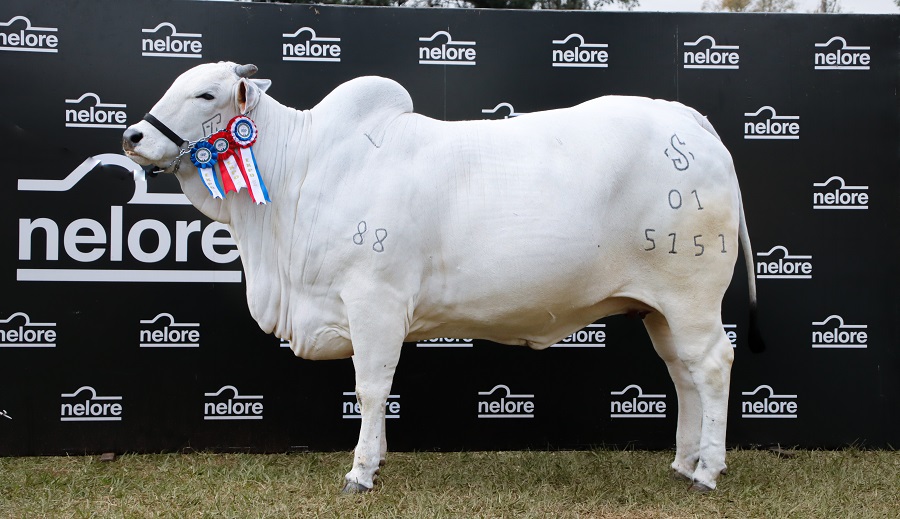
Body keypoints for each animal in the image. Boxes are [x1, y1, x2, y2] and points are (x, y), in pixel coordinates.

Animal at [122, 61, 763, 493]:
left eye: (205, 92)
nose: (133, 136)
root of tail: (689, 120)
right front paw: (375, 460)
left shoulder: (374, 299)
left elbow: (371, 387)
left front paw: (361, 471)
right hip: (659, 309)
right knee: (682, 374)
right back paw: (682, 463)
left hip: (692, 295)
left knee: (712, 365)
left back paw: (708, 470)